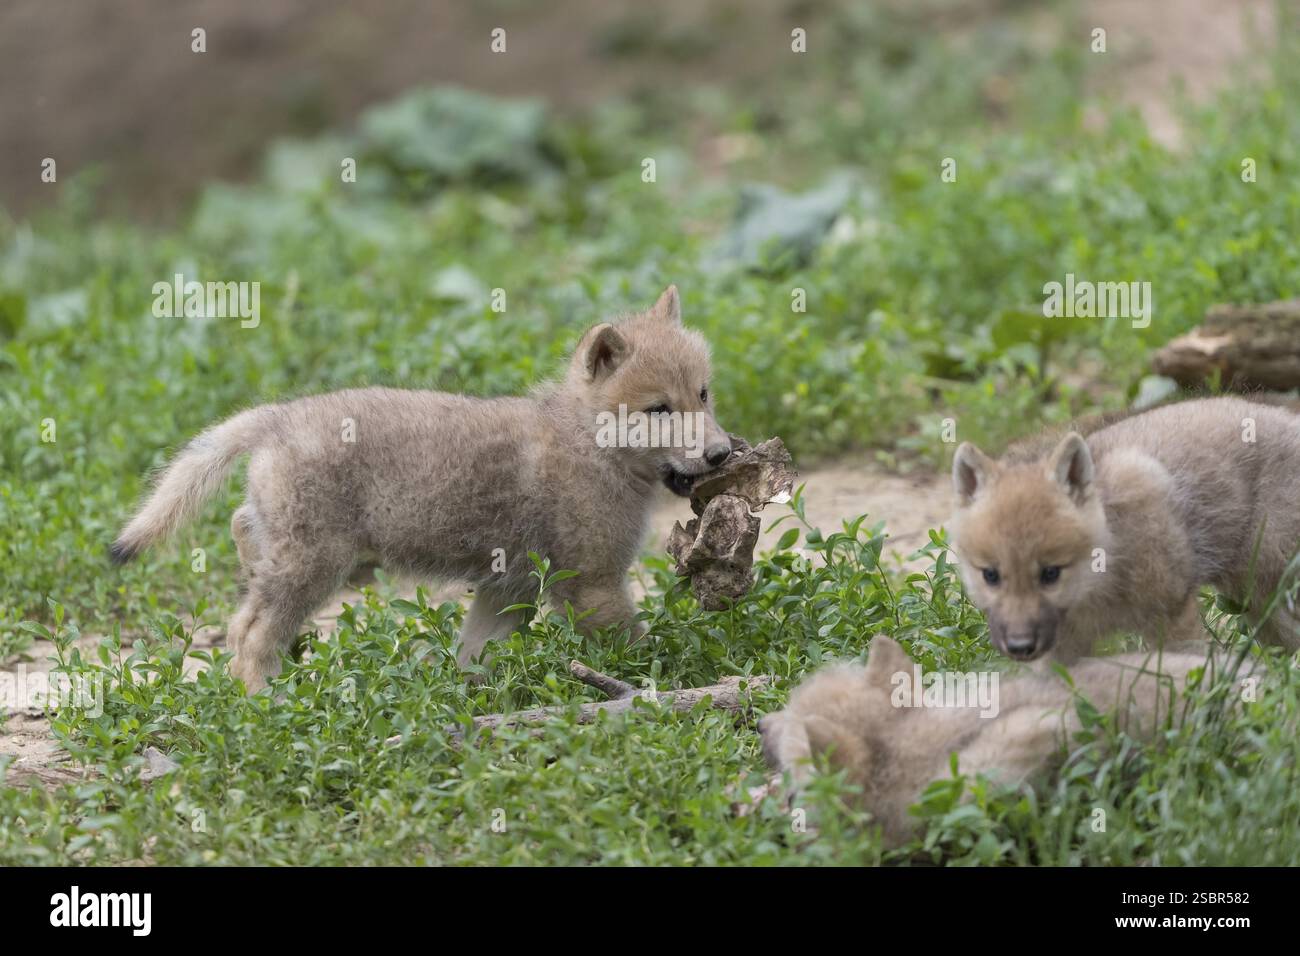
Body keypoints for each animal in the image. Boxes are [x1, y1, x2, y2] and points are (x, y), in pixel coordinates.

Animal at [111, 286, 733, 692]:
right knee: (250, 634)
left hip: (292, 545)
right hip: (315, 563)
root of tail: (274, 418)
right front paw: (680, 680)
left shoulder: (507, 587)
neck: (588, 443)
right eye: (658, 410)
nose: (722, 453)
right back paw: (266, 700)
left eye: (703, 395)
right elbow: (640, 647)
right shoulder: (592, 584)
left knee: (243, 549)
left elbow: (476, 653)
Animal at [949, 397, 1300, 663]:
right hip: (1251, 599)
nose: (1020, 647)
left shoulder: (1173, 616)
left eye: (1051, 573)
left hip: (1268, 585)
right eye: (990, 576)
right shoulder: (1063, 651)